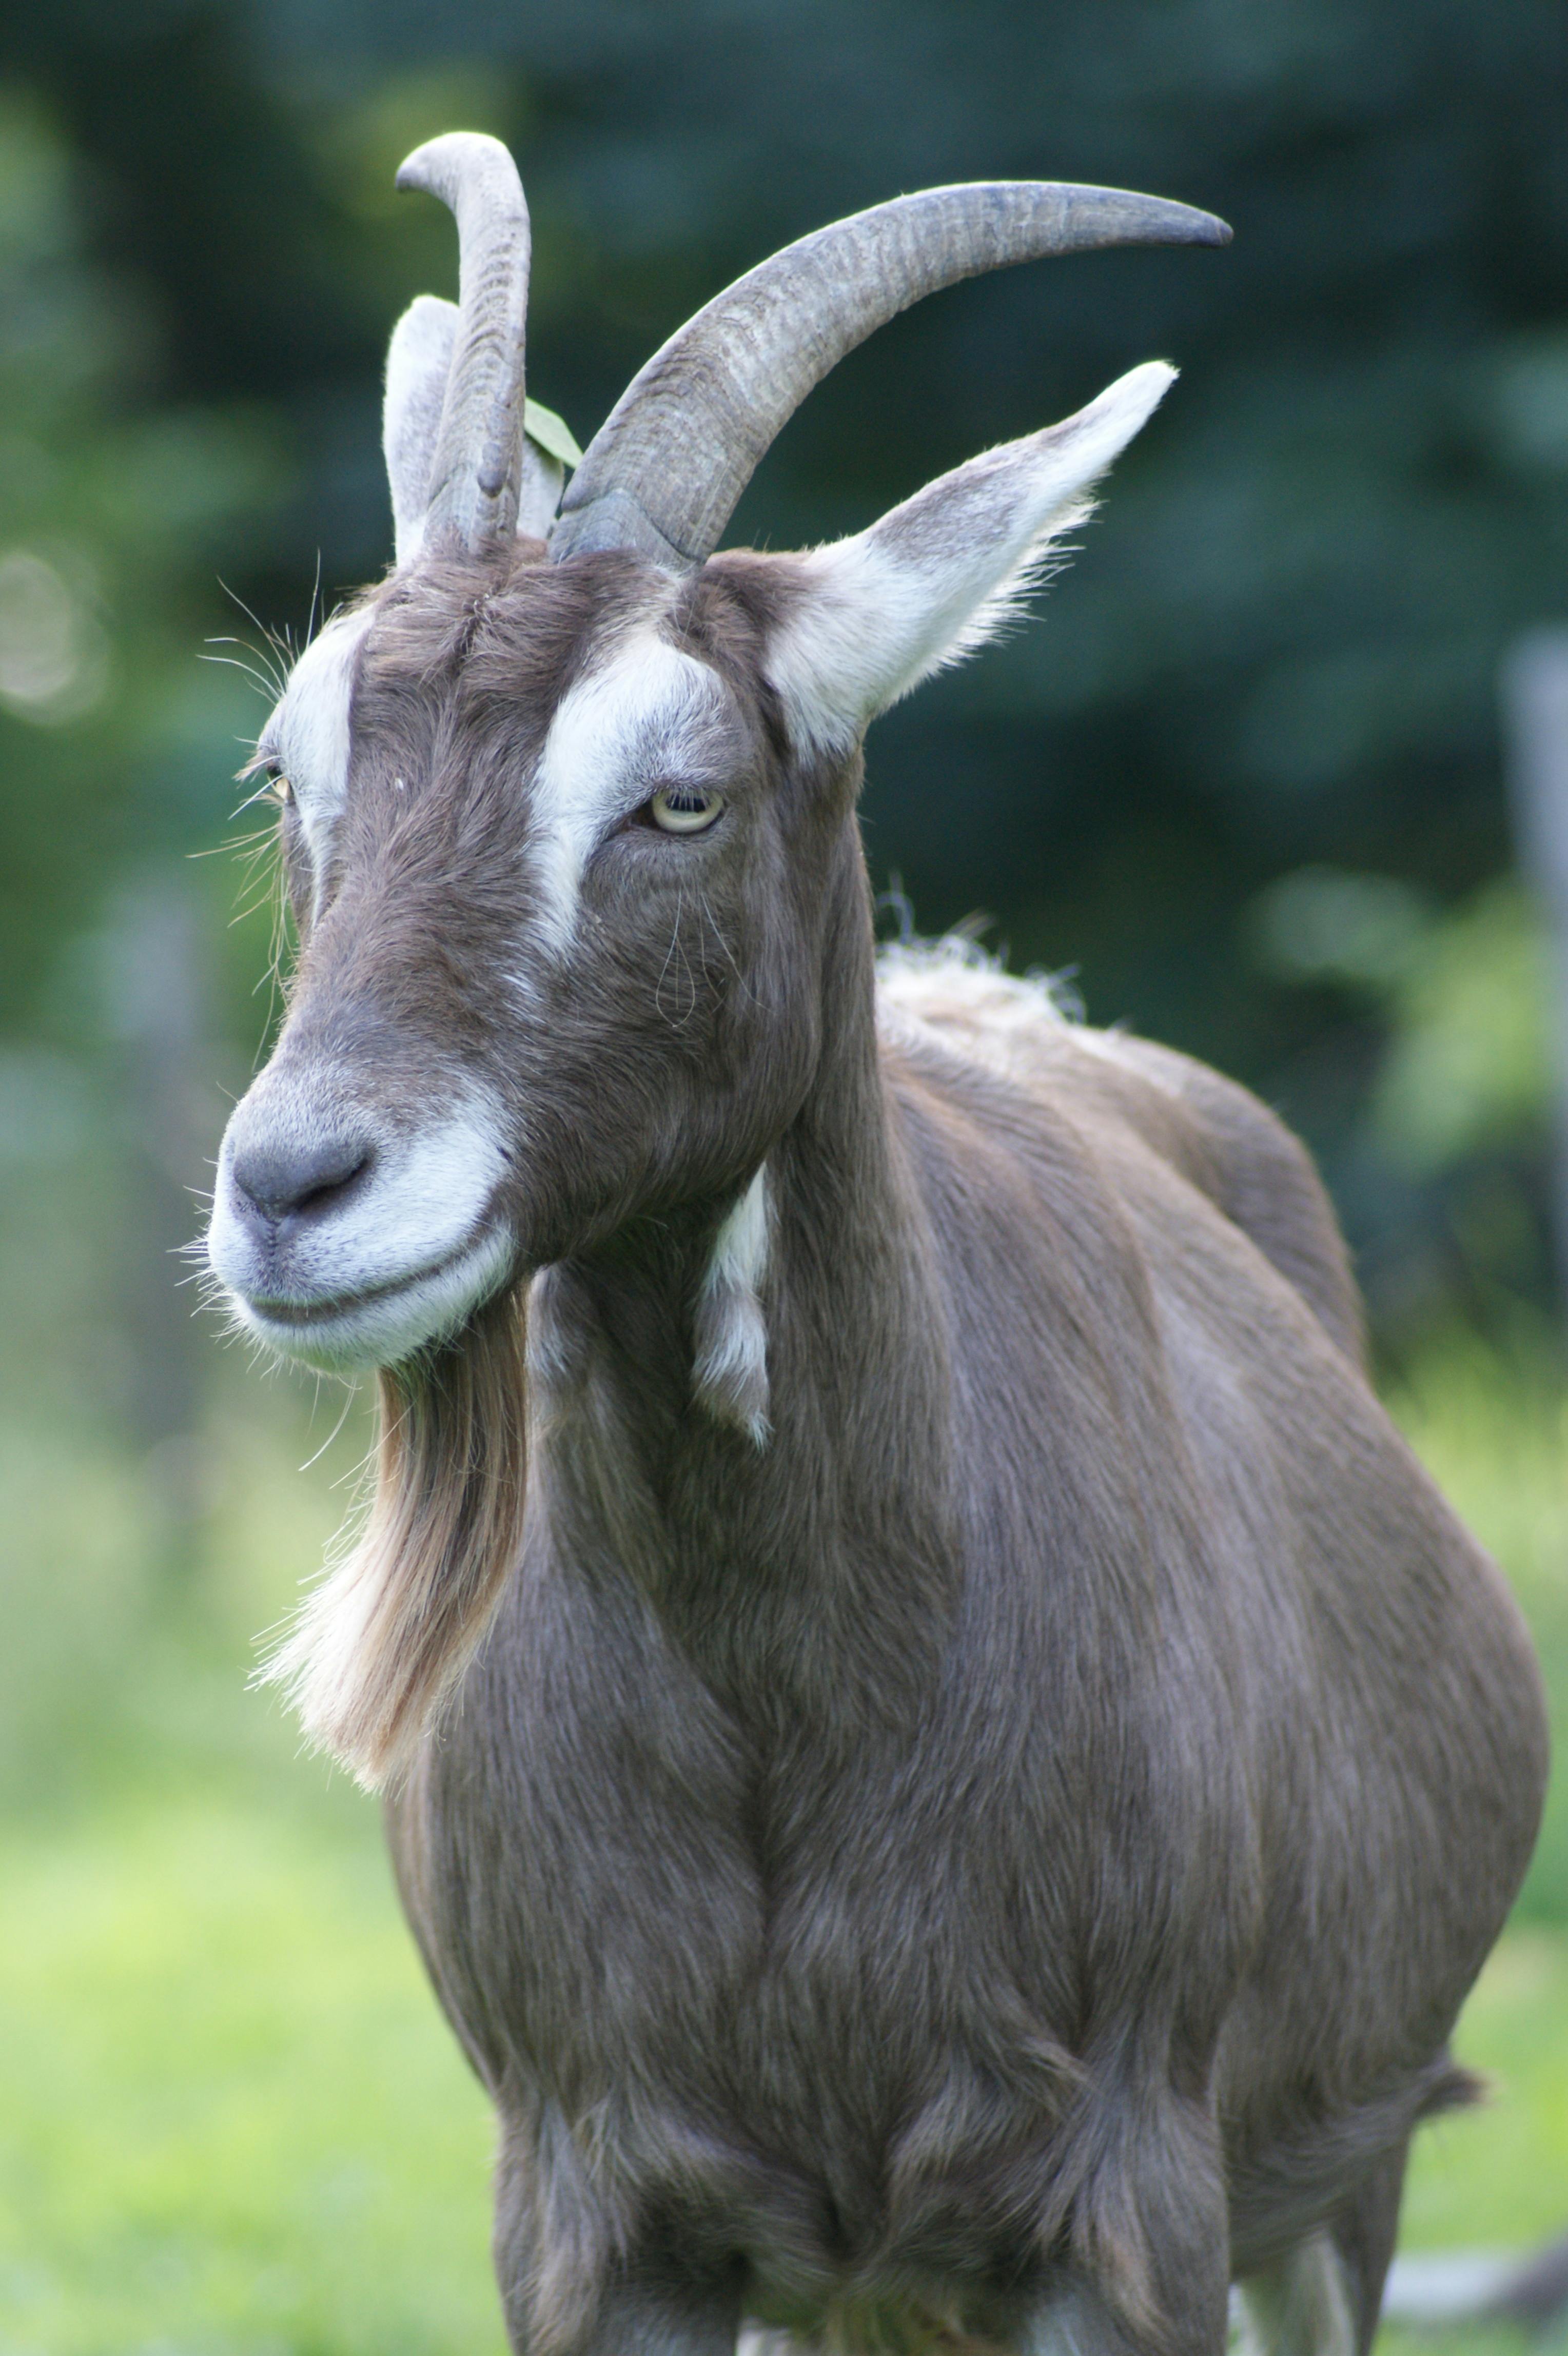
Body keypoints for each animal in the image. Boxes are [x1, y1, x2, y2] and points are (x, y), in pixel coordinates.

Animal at [206, 134, 1548, 2356]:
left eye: (677, 795)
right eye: (288, 767)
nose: (297, 1185)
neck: (794, 1696)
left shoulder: (1123, 2190)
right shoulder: (597, 2205)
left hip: (1333, 2178)